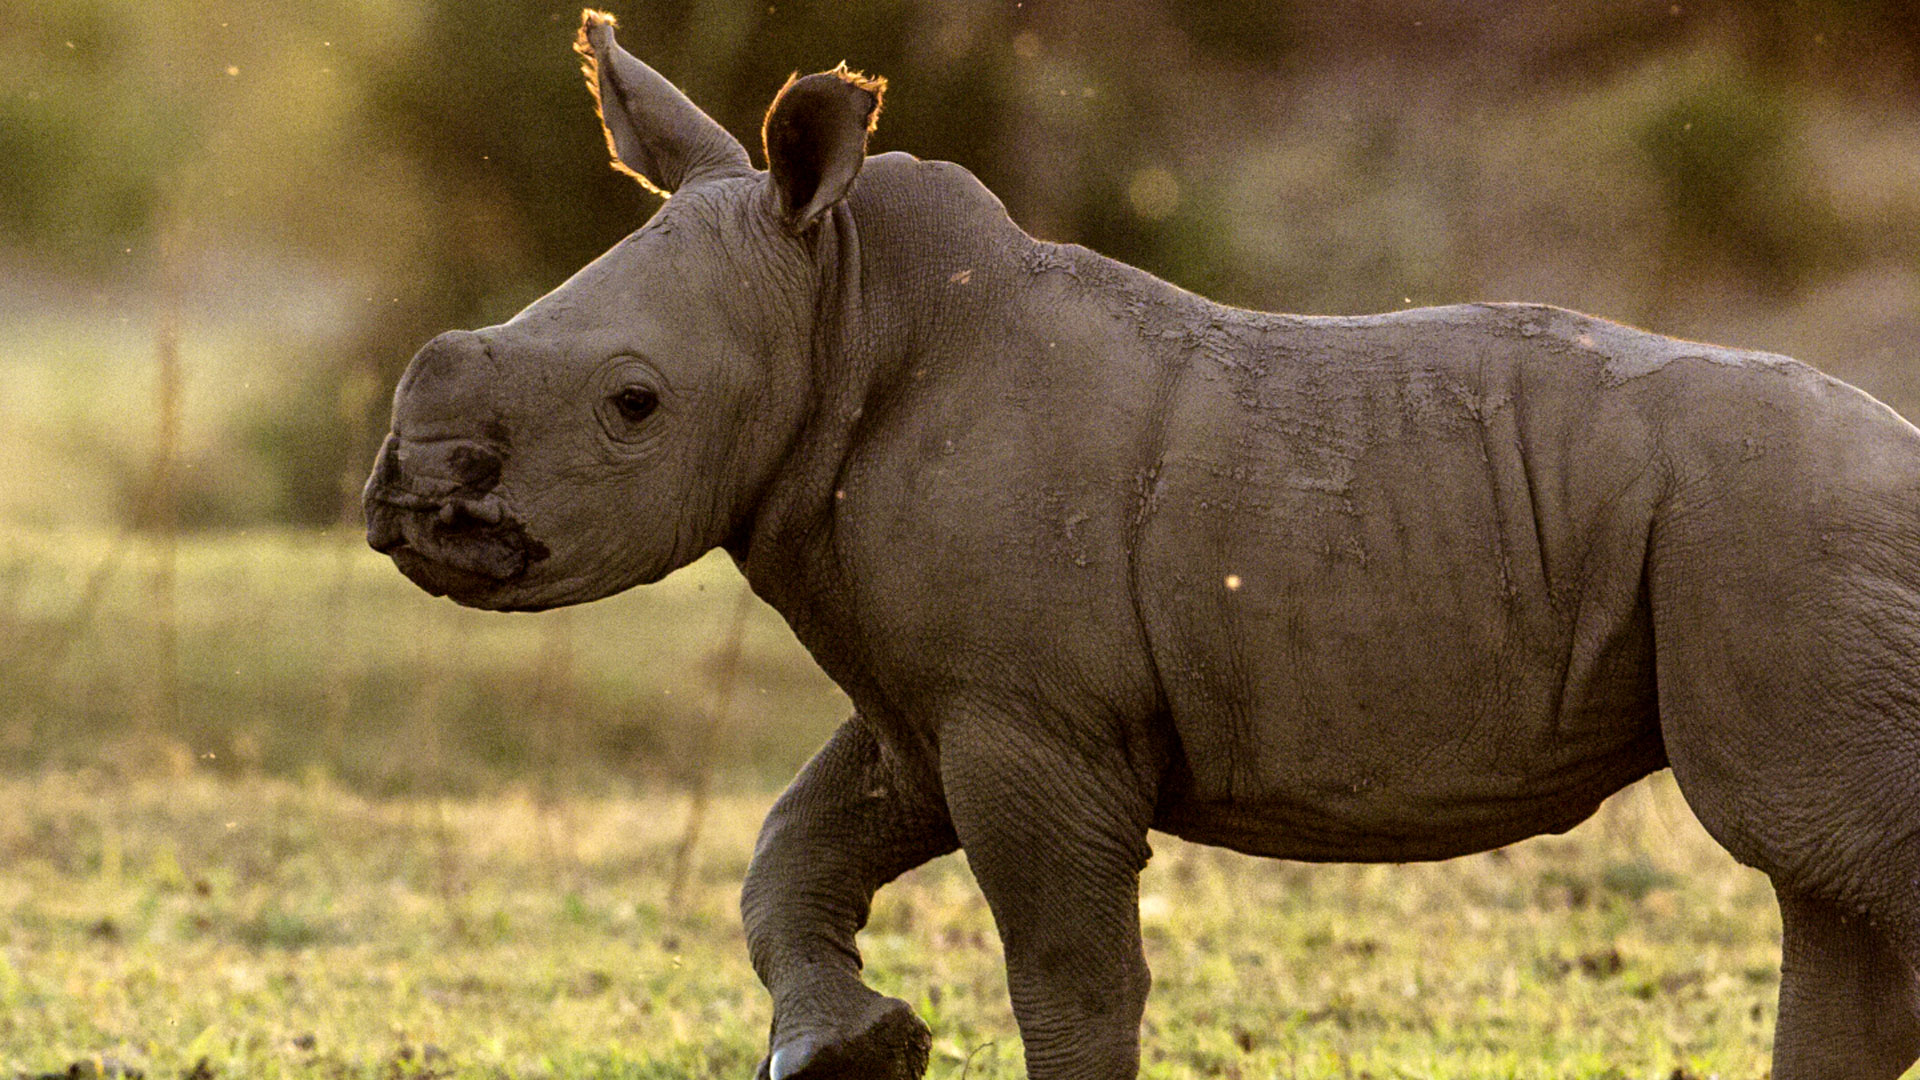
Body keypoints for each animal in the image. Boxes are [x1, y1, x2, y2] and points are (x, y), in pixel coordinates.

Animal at [363, 11, 1920, 1078]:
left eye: (632, 406)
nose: (405, 508)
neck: (840, 305)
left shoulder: (1031, 722)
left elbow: (1069, 976)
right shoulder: (945, 703)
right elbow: (787, 848)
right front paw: (854, 1051)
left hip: (1780, 537)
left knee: (1815, 842)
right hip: (1778, 548)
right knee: (1828, 883)